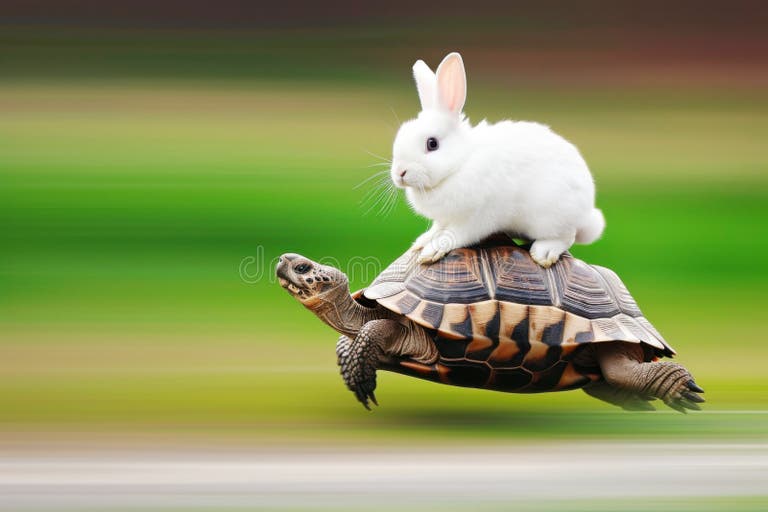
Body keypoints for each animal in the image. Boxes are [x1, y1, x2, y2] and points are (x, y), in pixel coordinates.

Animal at [389, 51, 605, 267]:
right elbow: (436, 228)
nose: (400, 173)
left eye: (432, 143)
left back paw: (544, 252)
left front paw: (431, 251)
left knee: (567, 236)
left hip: (549, 217)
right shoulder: (443, 218)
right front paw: (421, 242)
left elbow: (453, 235)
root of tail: (585, 212)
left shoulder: (476, 219)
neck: (461, 164)